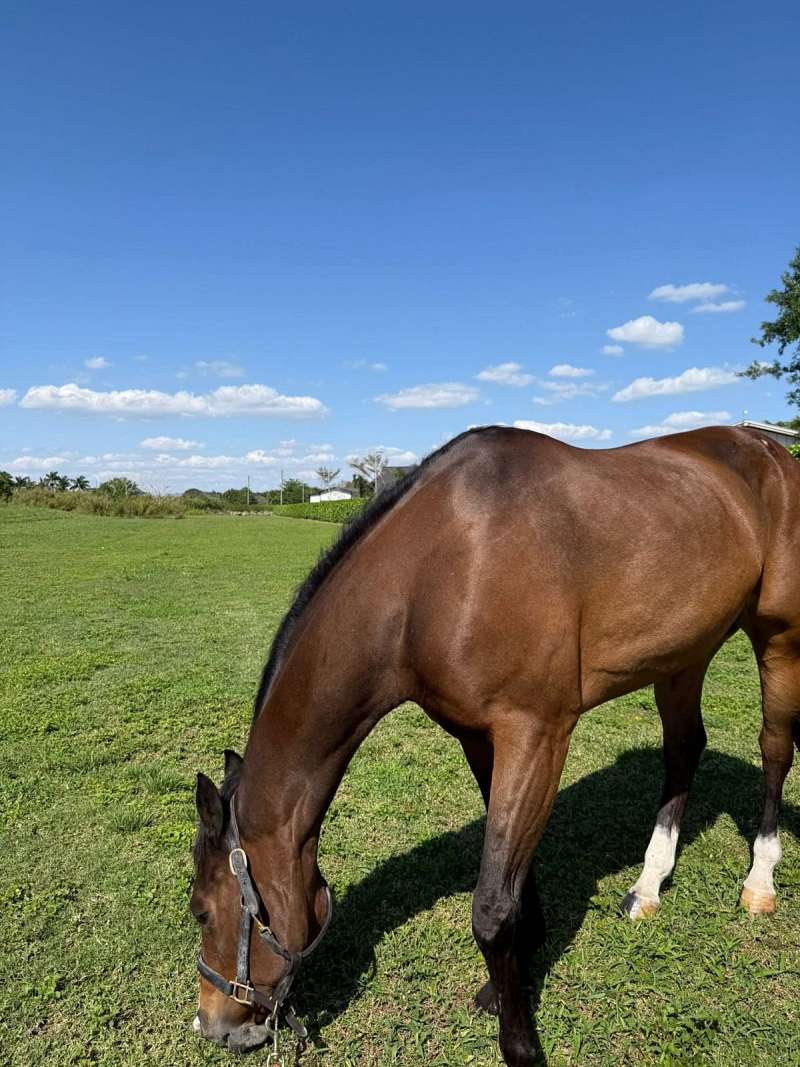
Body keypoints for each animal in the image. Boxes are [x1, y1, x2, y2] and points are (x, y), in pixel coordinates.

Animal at [189, 424, 800, 1066]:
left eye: (201, 911)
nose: (213, 1025)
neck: (434, 572)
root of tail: (767, 449)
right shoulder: (480, 740)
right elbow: (511, 877)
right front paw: (512, 974)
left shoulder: (535, 734)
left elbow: (490, 906)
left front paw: (521, 1043)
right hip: (684, 653)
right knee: (684, 747)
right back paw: (648, 885)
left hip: (778, 637)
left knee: (774, 748)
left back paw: (760, 882)